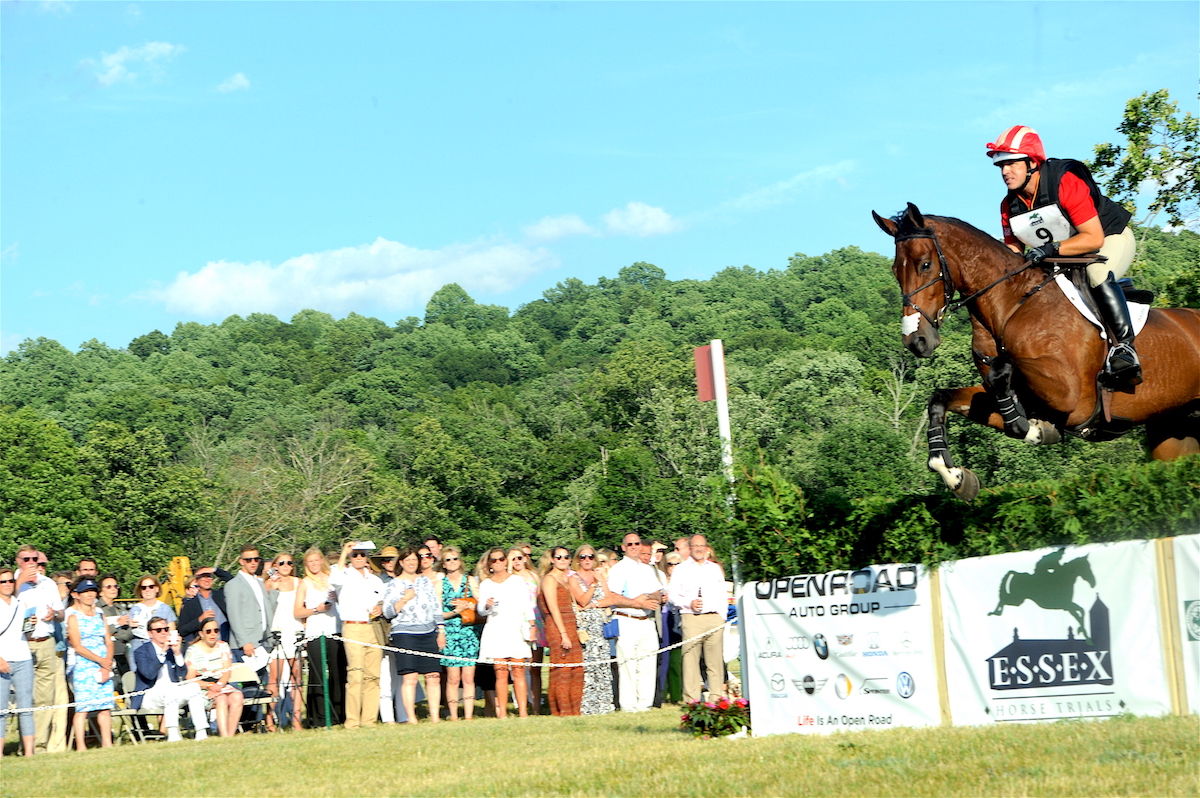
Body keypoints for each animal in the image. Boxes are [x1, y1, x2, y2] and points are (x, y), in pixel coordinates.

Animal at [873, 203, 1200, 500]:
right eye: (895, 271)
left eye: (925, 265)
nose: (916, 341)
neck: (1010, 306)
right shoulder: (1013, 395)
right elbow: (942, 399)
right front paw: (954, 475)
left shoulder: (1068, 395)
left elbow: (1002, 371)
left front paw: (1034, 429)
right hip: (1172, 431)